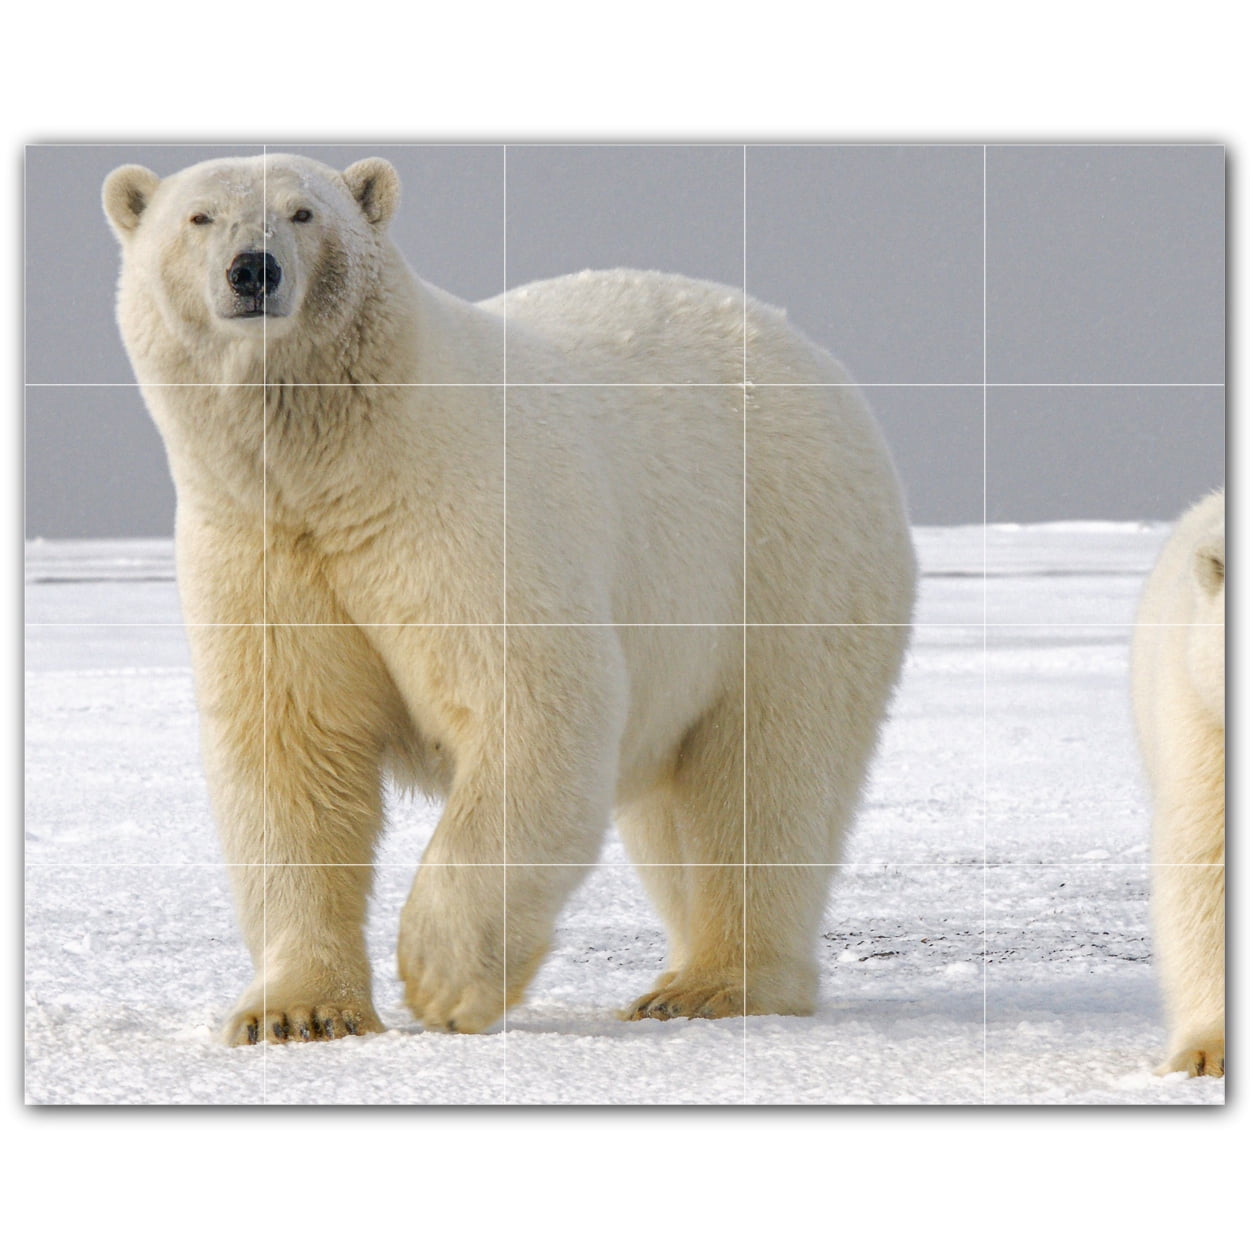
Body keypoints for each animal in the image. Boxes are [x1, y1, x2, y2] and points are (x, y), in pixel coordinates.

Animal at [103, 153, 917, 1043]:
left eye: (303, 212)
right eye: (200, 218)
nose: (254, 269)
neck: (341, 467)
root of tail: (811, 352)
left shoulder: (459, 517)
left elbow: (532, 705)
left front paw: (440, 978)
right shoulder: (261, 549)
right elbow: (292, 753)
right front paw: (297, 1012)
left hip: (784, 558)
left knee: (766, 773)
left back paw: (713, 984)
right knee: (674, 810)